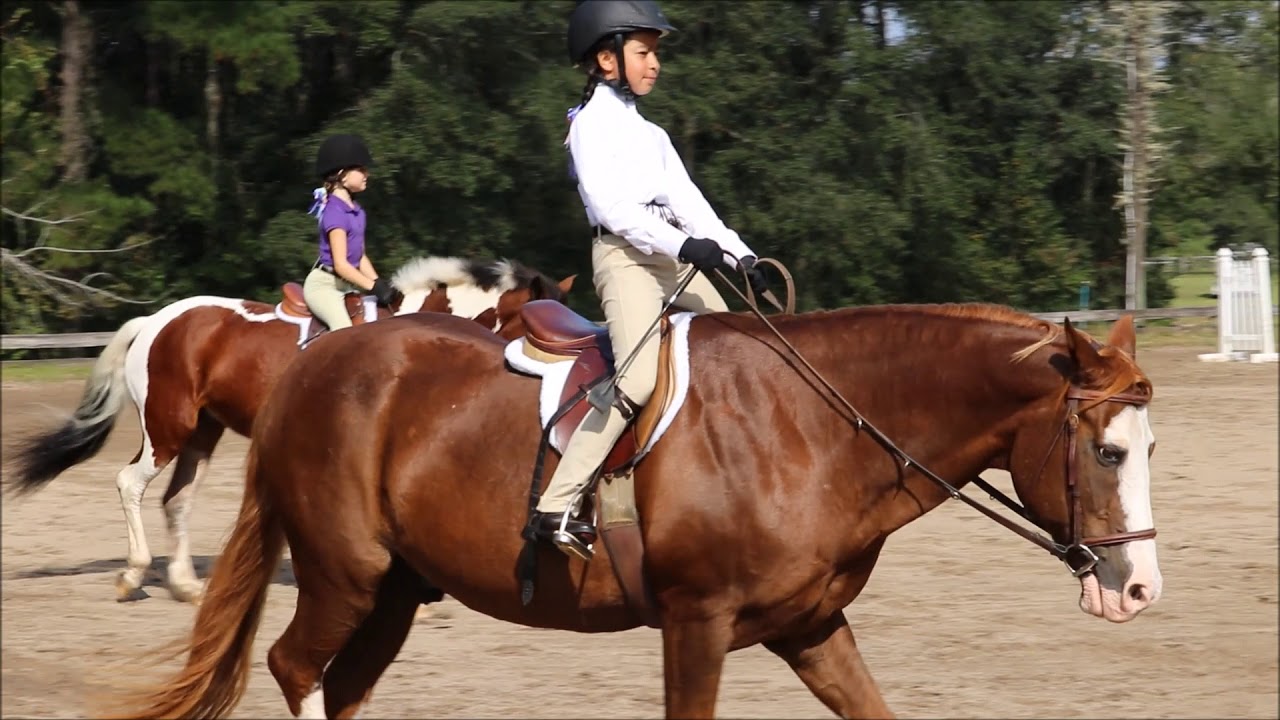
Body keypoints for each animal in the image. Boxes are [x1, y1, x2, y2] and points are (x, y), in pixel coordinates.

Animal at [4, 255, 575, 604]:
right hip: (170, 426)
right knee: (131, 485)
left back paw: (187, 586)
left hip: (203, 433)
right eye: (537, 327)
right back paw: (131, 576)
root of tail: (157, 320)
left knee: (178, 499)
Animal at [104, 299, 1161, 719]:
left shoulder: (813, 627)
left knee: (343, 685)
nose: (1139, 587)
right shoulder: (696, 624)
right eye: (1106, 451)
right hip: (343, 573)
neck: (815, 429)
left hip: (396, 593)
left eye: (1151, 450)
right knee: (295, 667)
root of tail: (313, 361)